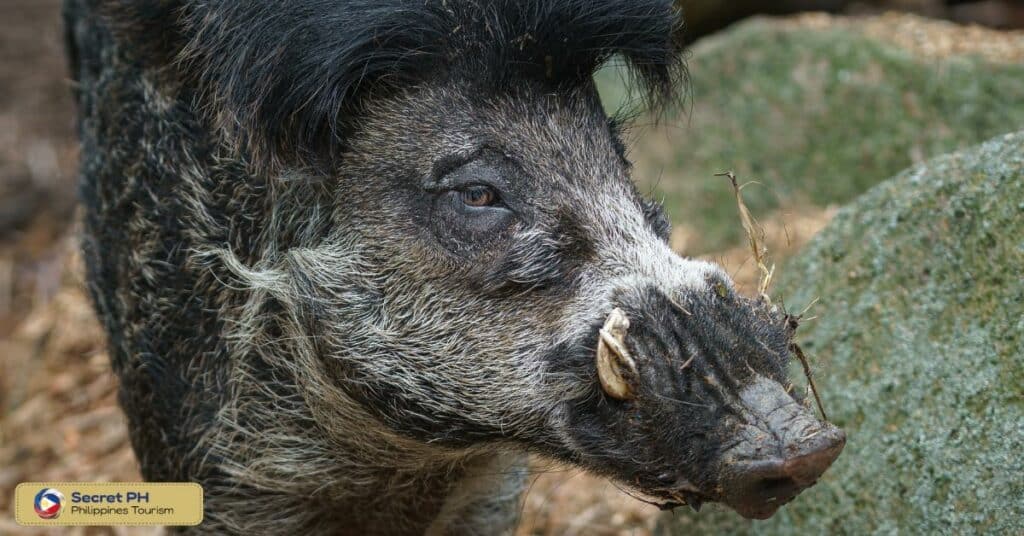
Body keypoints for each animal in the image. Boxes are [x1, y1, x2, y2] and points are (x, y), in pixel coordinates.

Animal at [64, 0, 845, 533]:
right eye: (478, 193)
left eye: (616, 150)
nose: (811, 447)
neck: (391, 465)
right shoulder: (209, 473)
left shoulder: (486, 492)